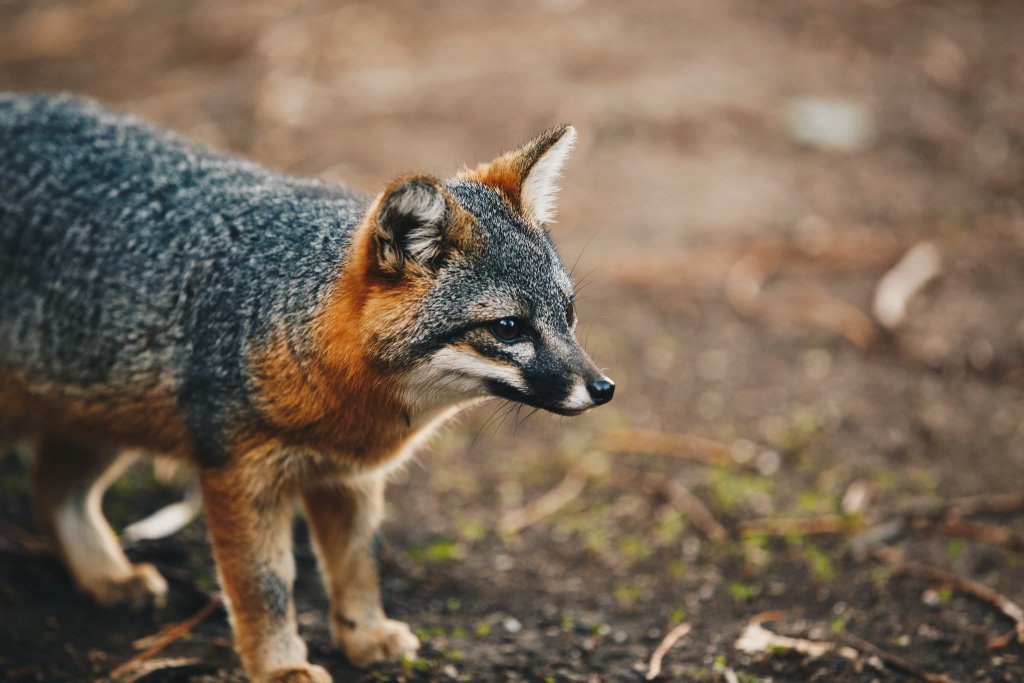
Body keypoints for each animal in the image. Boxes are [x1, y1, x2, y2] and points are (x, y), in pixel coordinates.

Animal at [0, 93, 613, 682]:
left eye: (568, 315)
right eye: (509, 328)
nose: (603, 388)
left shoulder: (350, 477)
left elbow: (358, 565)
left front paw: (365, 636)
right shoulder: (238, 474)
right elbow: (265, 586)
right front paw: (280, 666)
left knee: (54, 485)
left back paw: (107, 577)